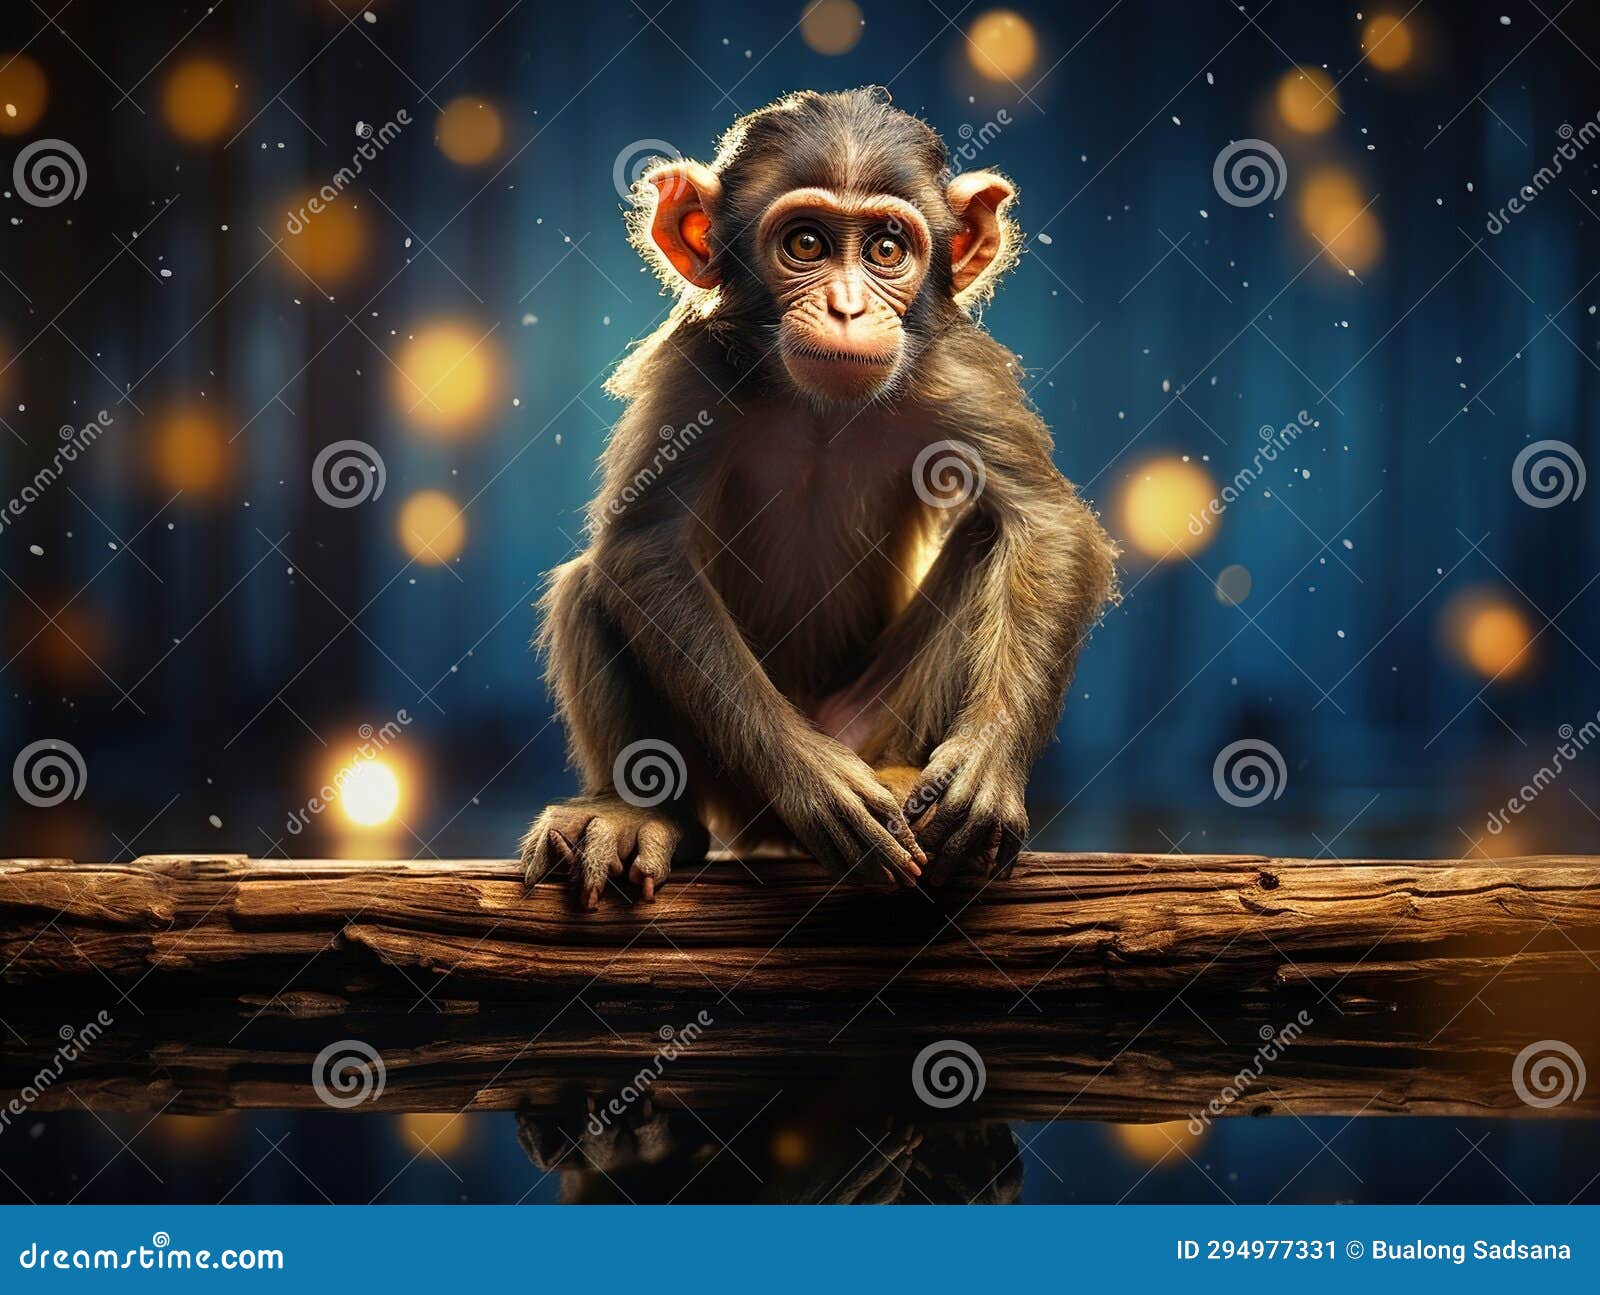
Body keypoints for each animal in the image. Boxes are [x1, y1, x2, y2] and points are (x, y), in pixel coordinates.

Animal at [522, 88, 1118, 909]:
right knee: (591, 584)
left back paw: (901, 774)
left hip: (866, 721)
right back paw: (634, 814)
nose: (845, 306)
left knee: (989, 535)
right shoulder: (694, 373)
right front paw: (813, 783)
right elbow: (646, 544)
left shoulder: (958, 373)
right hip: (730, 781)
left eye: (888, 251)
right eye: (805, 243)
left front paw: (990, 766)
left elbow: (1043, 521)